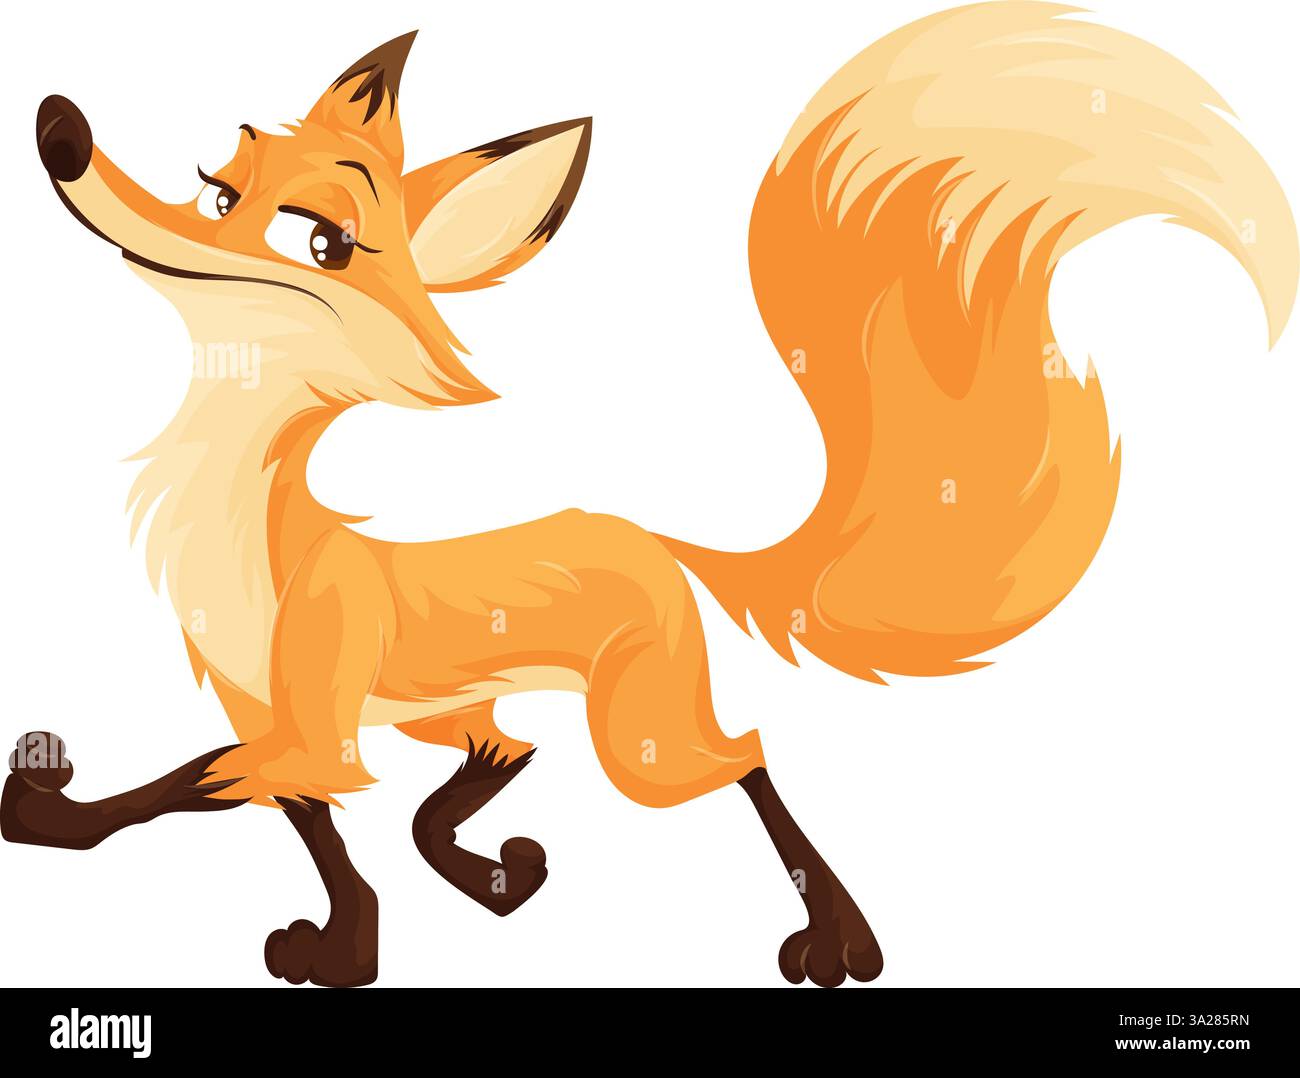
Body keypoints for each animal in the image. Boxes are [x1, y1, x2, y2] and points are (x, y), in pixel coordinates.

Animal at [5, 3, 1294, 988]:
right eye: (217, 194)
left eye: (319, 240)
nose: (61, 133)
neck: (242, 523)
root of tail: (663, 538)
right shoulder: (279, 717)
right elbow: (285, 815)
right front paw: (345, 936)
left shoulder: (312, 718)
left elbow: (196, 787)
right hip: (481, 709)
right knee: (503, 761)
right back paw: (498, 867)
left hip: (639, 737)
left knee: (743, 753)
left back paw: (832, 937)